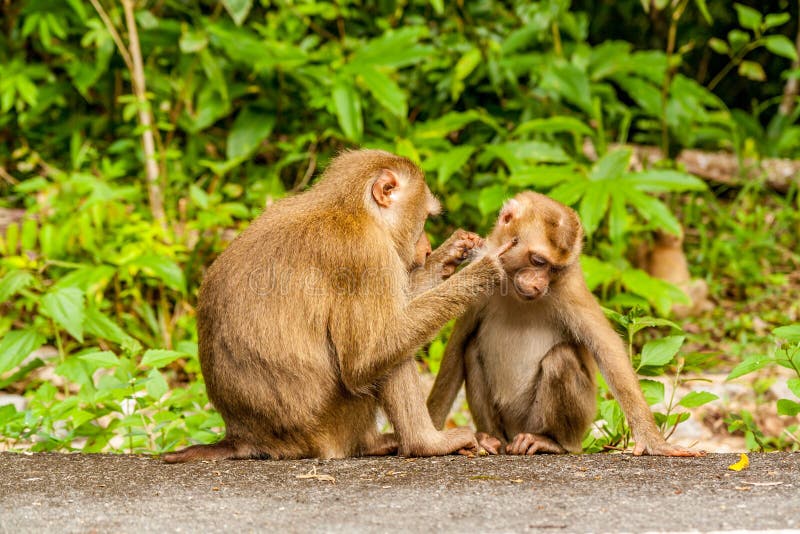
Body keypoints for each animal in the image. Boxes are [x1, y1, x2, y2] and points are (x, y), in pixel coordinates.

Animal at [164, 149, 515, 463]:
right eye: (425, 218)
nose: (427, 248)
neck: (354, 209)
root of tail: (243, 437)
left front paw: (449, 255)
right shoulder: (364, 255)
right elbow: (365, 358)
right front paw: (483, 270)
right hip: (329, 427)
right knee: (386, 355)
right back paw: (424, 444)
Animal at [427, 191, 705, 457]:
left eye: (555, 270)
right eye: (538, 261)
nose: (539, 285)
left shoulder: (569, 291)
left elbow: (608, 350)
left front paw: (653, 441)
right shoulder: (475, 282)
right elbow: (456, 346)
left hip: (555, 421)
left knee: (561, 359)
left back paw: (552, 443)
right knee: (471, 350)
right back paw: (489, 439)